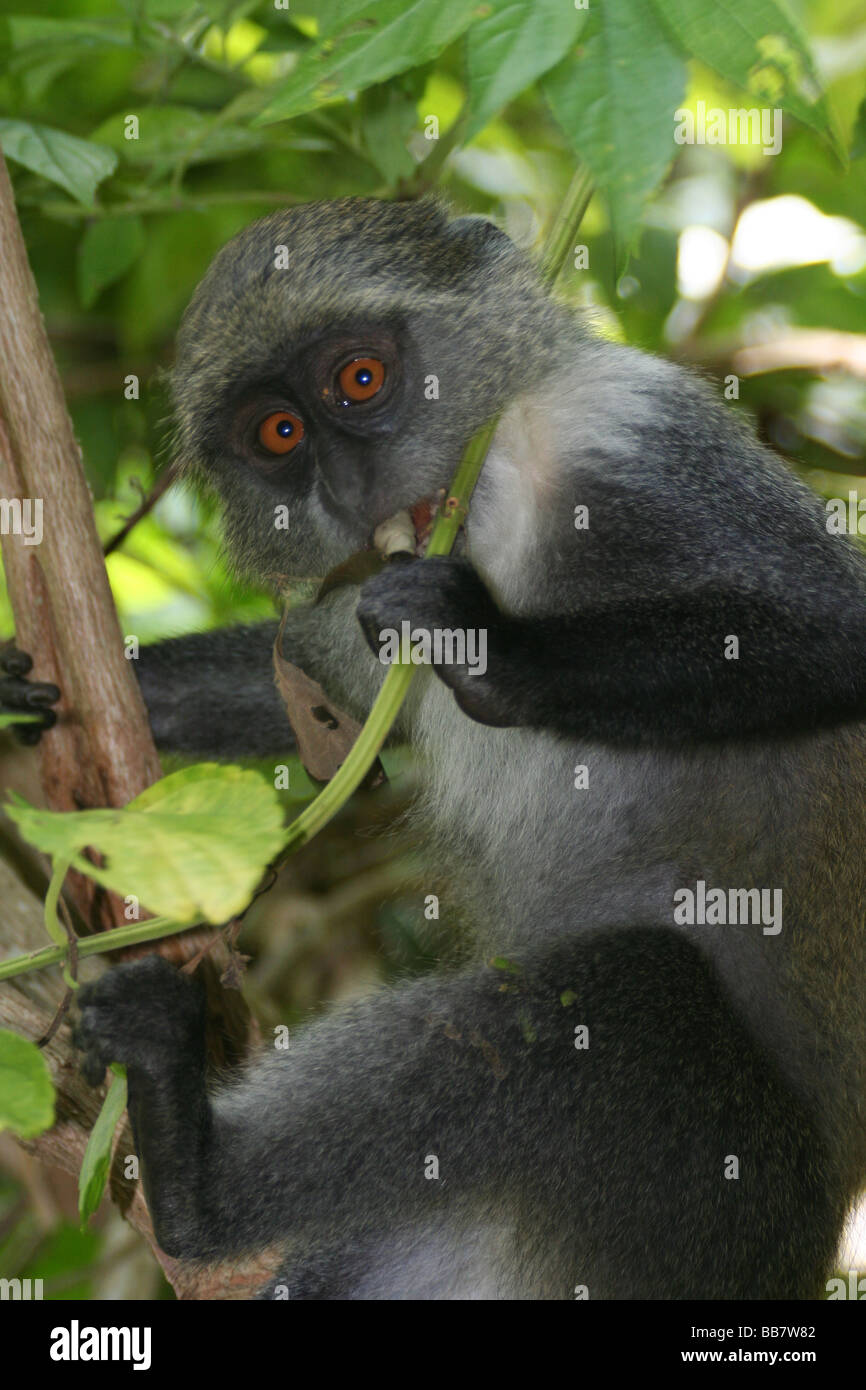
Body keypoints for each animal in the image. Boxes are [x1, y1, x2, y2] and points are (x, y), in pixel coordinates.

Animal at [11, 196, 866, 1298]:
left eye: (359, 380)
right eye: (278, 434)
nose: (343, 482)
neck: (489, 507)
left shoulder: (624, 427)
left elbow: (839, 634)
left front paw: (490, 646)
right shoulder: (359, 581)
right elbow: (302, 688)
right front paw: (13, 699)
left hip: (724, 1200)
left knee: (632, 990)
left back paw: (194, 1171)